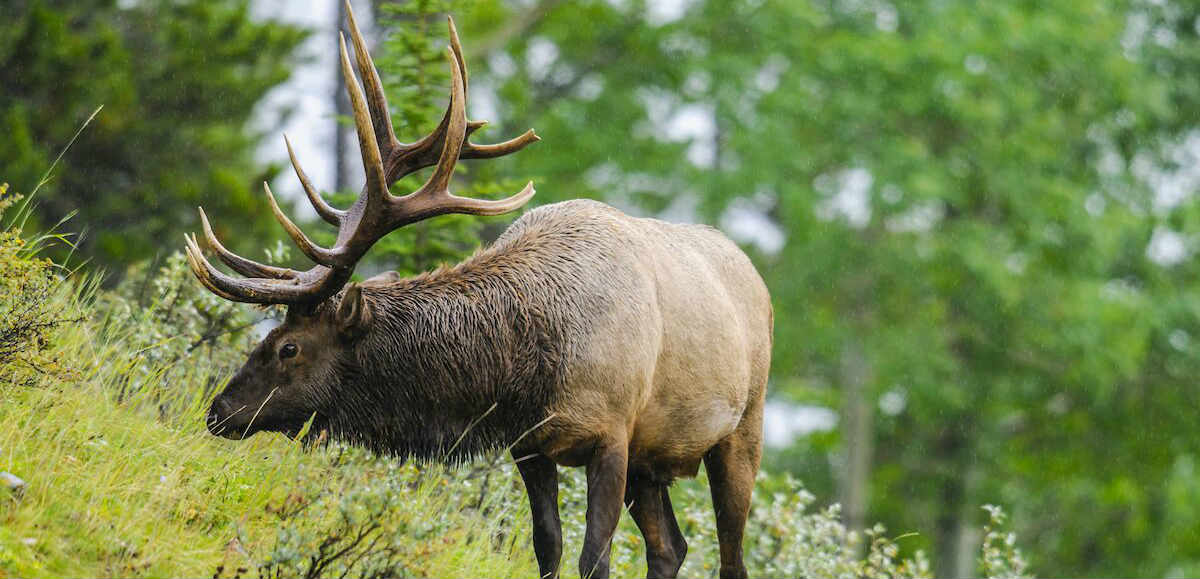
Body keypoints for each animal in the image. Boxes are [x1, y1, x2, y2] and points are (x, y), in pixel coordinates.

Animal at [185, 4, 772, 578]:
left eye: (289, 347)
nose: (219, 409)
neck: (526, 368)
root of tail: (755, 276)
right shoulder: (530, 445)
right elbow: (548, 546)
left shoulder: (612, 432)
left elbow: (594, 559)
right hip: (654, 457)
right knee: (670, 545)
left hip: (742, 429)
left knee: (731, 553)